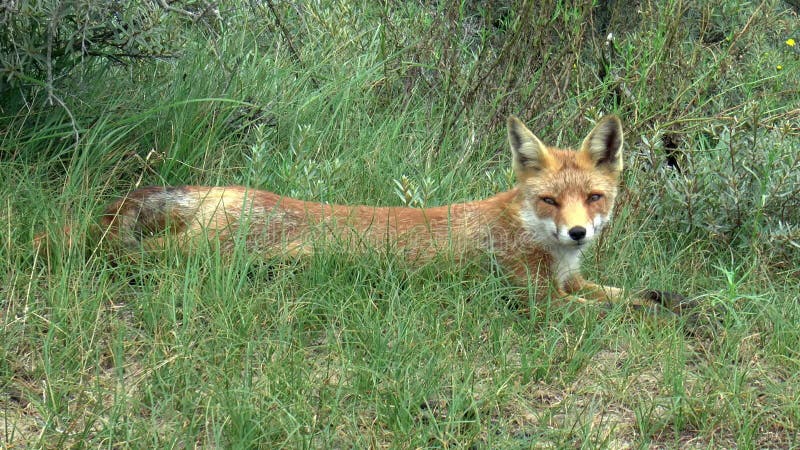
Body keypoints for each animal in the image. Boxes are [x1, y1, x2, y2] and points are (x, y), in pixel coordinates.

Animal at [38, 116, 686, 311]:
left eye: (594, 198)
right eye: (549, 200)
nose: (577, 231)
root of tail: (222, 189)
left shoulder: (573, 283)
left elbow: (628, 292)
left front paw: (675, 299)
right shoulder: (538, 301)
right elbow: (617, 313)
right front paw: (659, 315)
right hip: (199, 254)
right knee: (117, 250)